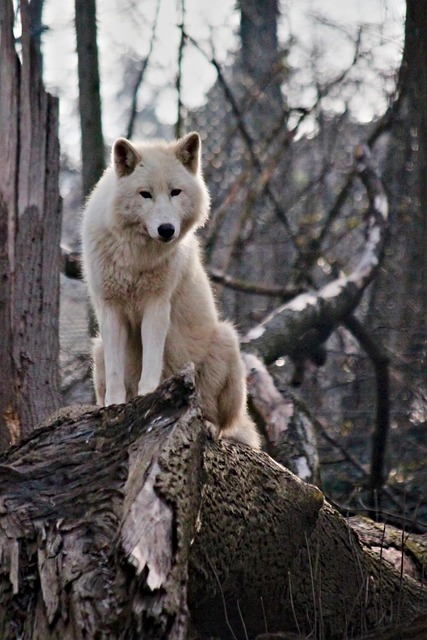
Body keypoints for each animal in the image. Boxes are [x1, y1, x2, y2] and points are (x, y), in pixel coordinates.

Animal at [81, 132, 260, 448]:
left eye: (176, 192)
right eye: (145, 194)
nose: (166, 229)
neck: (136, 257)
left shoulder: (157, 305)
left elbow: (152, 364)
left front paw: (148, 399)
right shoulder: (110, 309)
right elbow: (116, 374)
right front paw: (116, 407)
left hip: (225, 339)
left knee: (222, 423)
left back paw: (210, 426)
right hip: (98, 349)